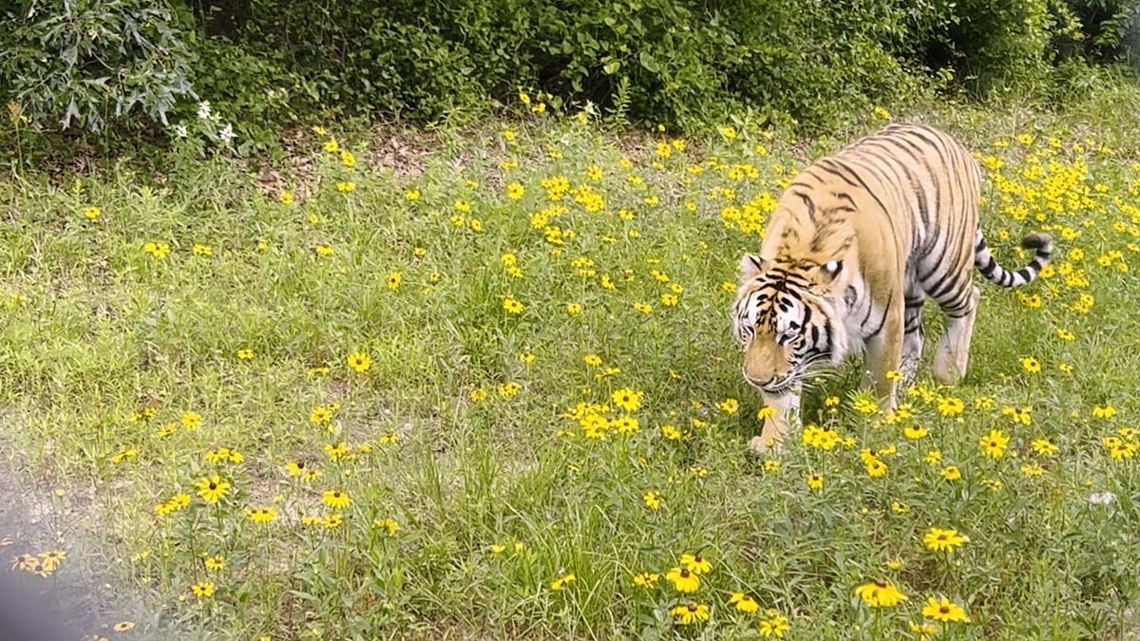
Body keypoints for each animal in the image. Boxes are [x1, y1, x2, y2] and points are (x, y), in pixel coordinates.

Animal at [731, 122, 1052, 453]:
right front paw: (773, 444)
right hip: (909, 286)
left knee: (969, 300)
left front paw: (877, 425)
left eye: (789, 335)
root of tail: (953, 142)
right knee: (917, 336)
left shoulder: (887, 322)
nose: (756, 380)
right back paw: (910, 388)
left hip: (943, 267)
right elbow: (780, 398)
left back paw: (948, 374)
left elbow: (881, 378)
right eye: (750, 329)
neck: (801, 254)